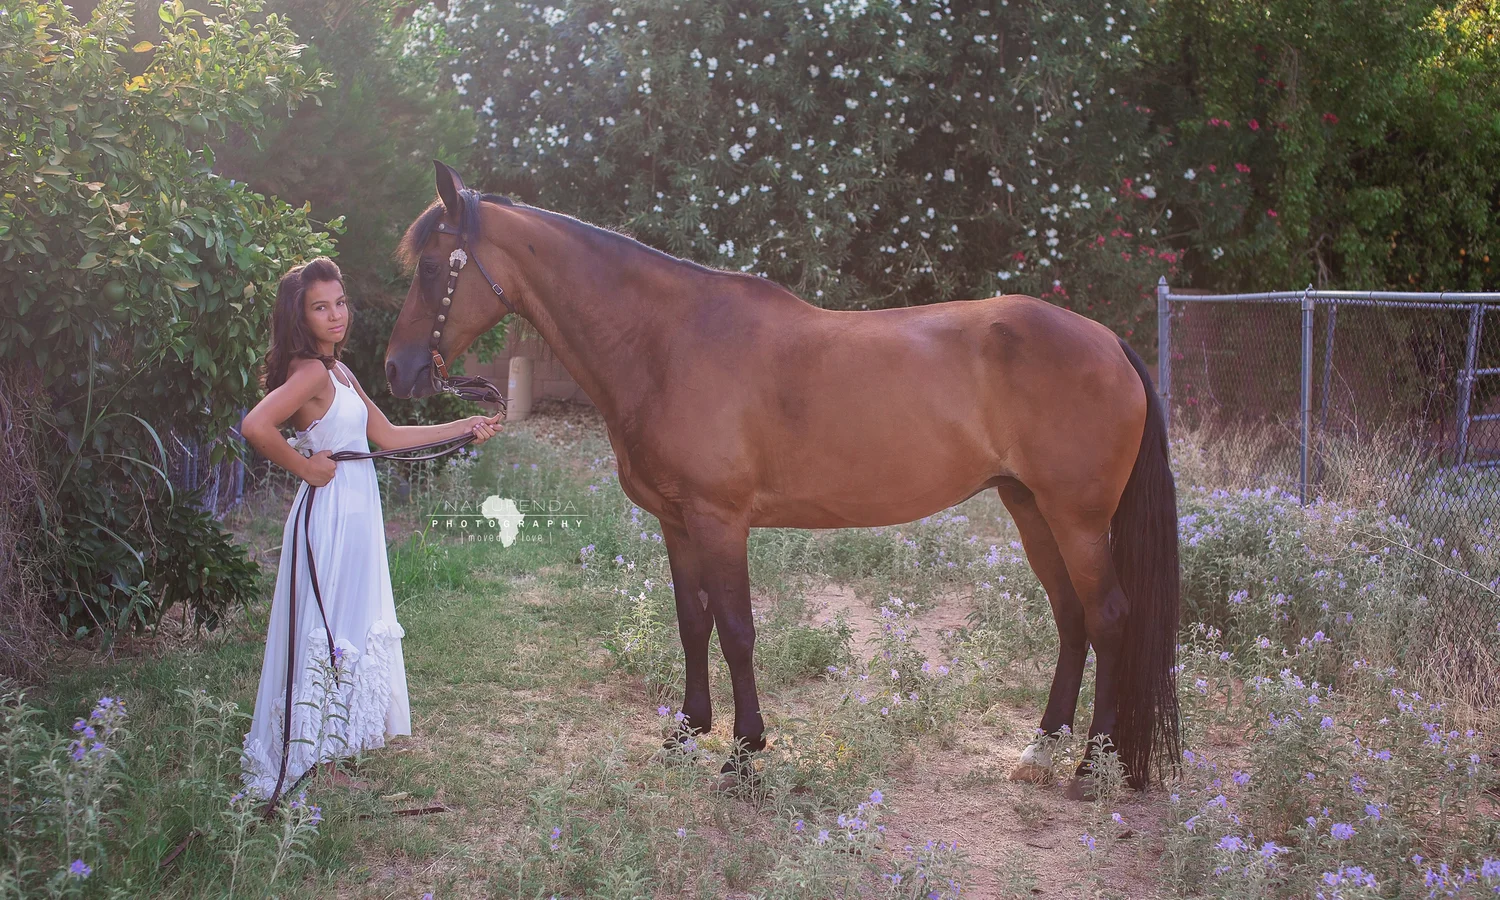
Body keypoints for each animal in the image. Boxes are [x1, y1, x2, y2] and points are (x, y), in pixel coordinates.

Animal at [385, 161, 1181, 797]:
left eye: (431, 268)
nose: (397, 371)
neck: (668, 342)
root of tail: (1109, 341)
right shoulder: (676, 521)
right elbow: (694, 622)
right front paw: (686, 732)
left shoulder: (720, 518)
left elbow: (737, 629)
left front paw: (742, 754)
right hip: (1030, 508)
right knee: (1072, 619)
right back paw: (1040, 749)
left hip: (1076, 517)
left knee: (1108, 617)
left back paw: (1090, 766)